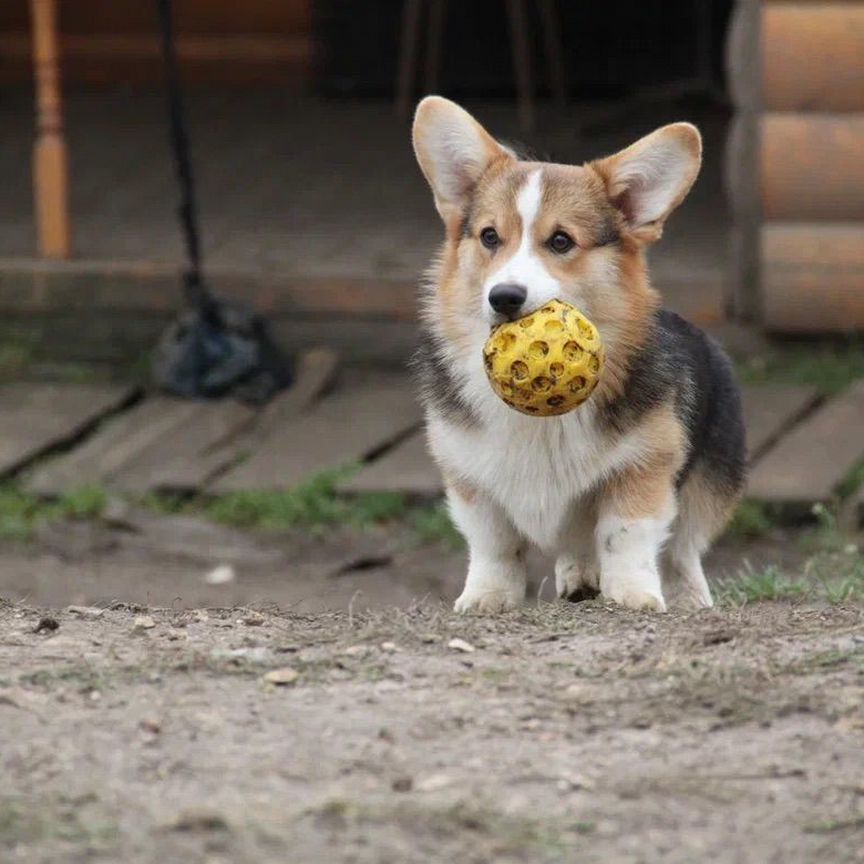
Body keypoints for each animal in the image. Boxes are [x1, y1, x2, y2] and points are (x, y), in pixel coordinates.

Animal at [410, 98, 744, 612]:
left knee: (682, 552)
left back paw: (690, 599)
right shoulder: (472, 478)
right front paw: (486, 596)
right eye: (489, 237)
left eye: (561, 241)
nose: (504, 297)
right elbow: (494, 544)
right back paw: (580, 580)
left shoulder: (644, 466)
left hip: (710, 481)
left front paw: (633, 594)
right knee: (576, 546)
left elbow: (624, 535)